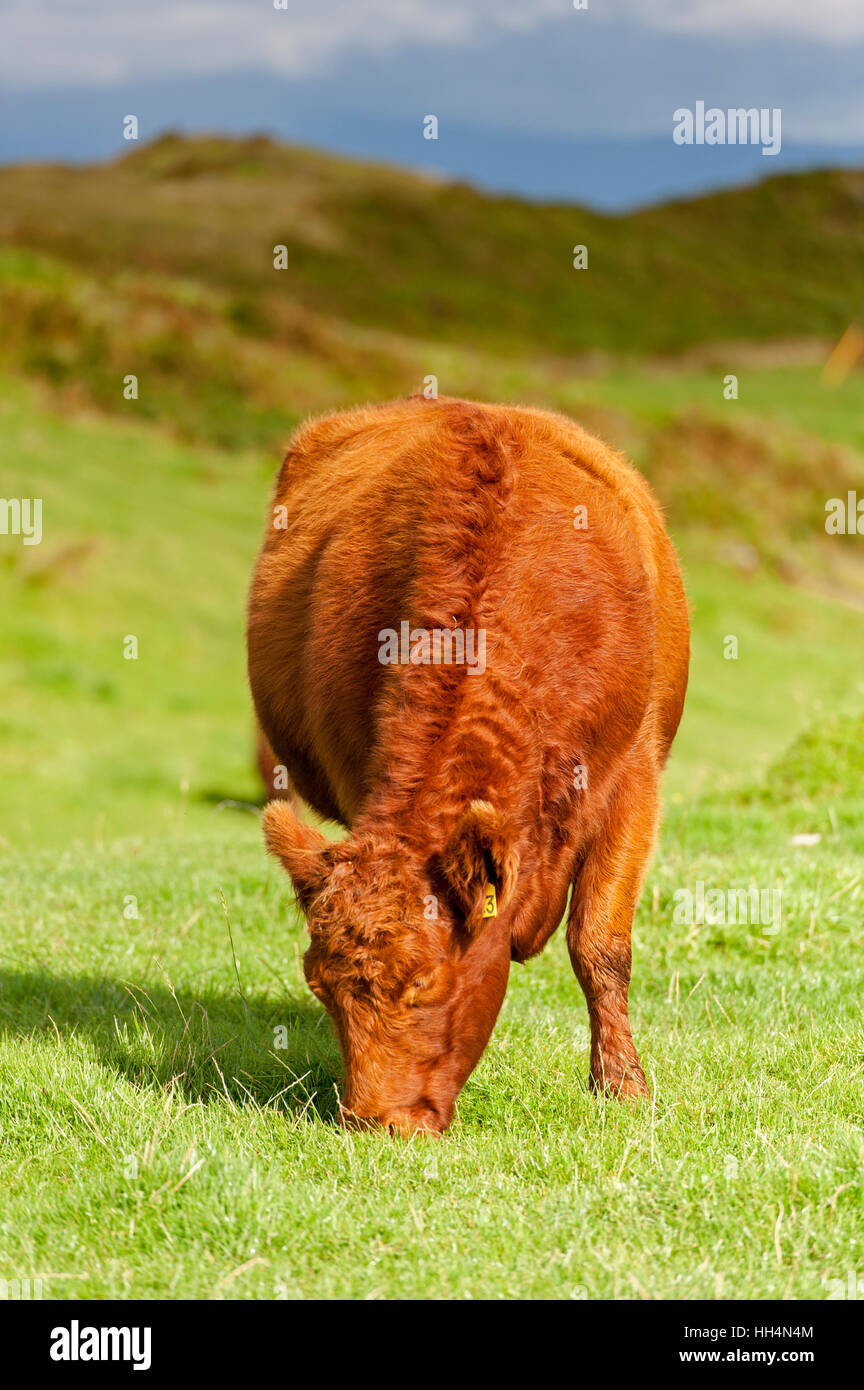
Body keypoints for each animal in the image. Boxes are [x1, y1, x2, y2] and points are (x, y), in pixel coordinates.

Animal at [247, 396, 689, 1136]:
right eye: (319, 984)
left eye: (424, 980)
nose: (376, 1122)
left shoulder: (634, 784)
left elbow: (600, 945)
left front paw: (622, 1084)